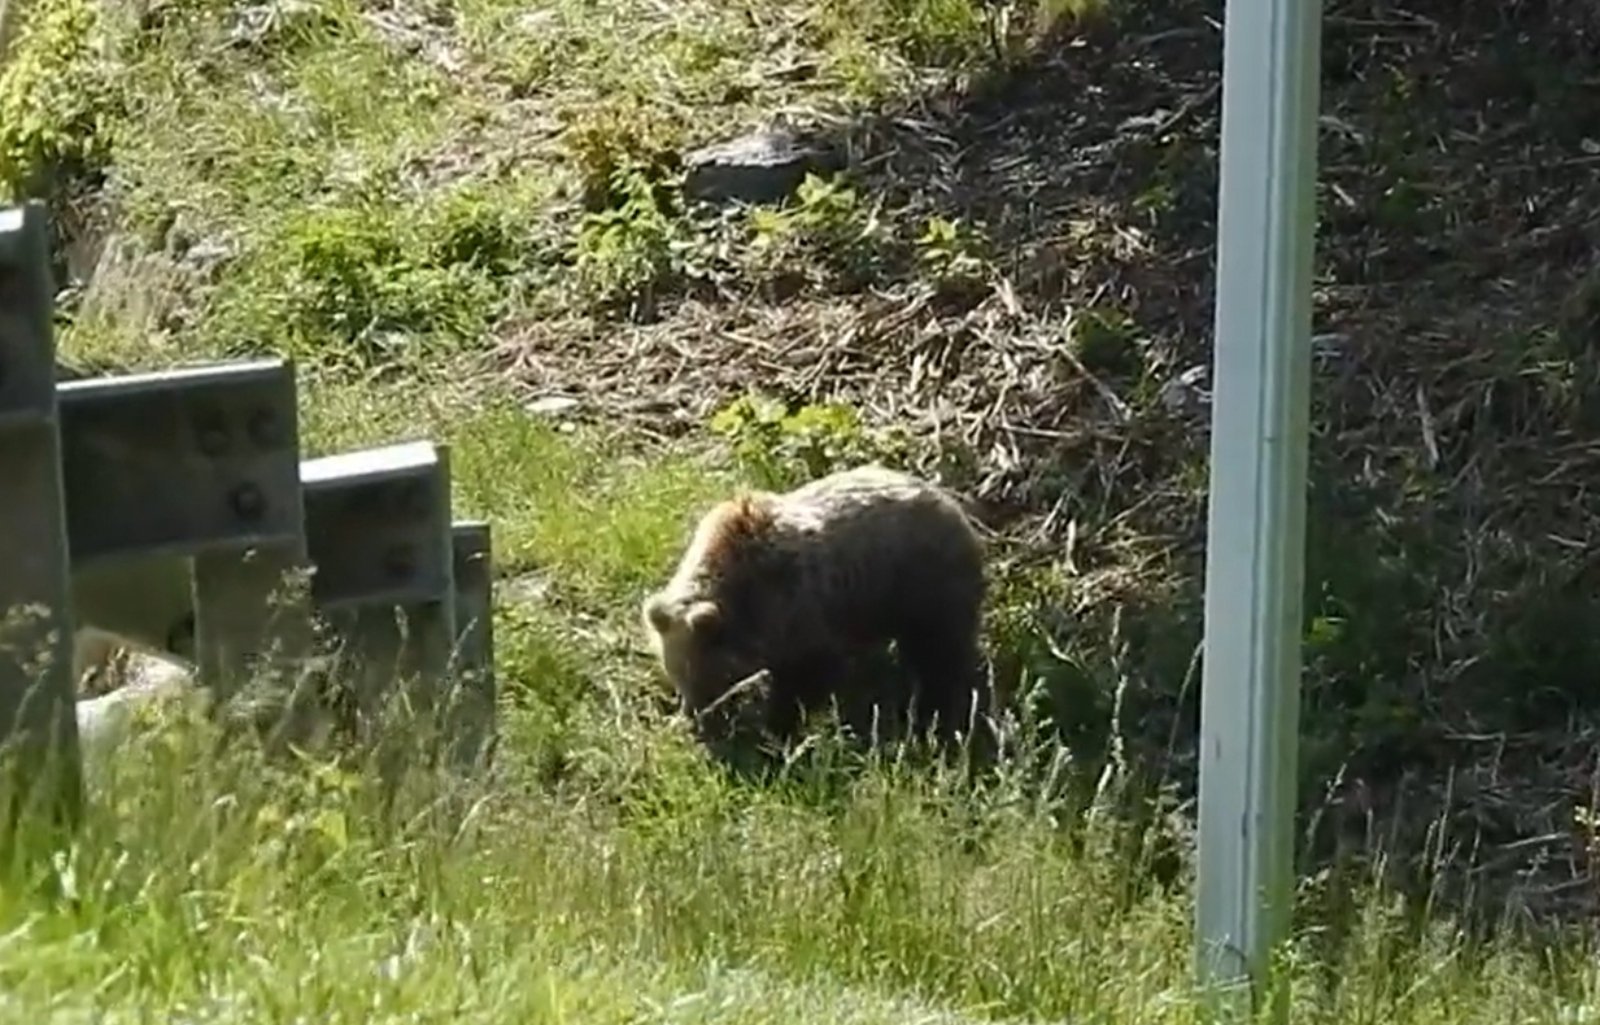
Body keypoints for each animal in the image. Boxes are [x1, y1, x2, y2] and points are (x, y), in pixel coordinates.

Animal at [641, 463, 993, 759]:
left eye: (704, 677)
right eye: (676, 673)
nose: (695, 718)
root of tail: (956, 507)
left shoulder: (800, 610)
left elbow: (807, 677)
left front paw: (778, 729)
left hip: (925, 587)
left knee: (939, 653)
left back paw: (937, 711)